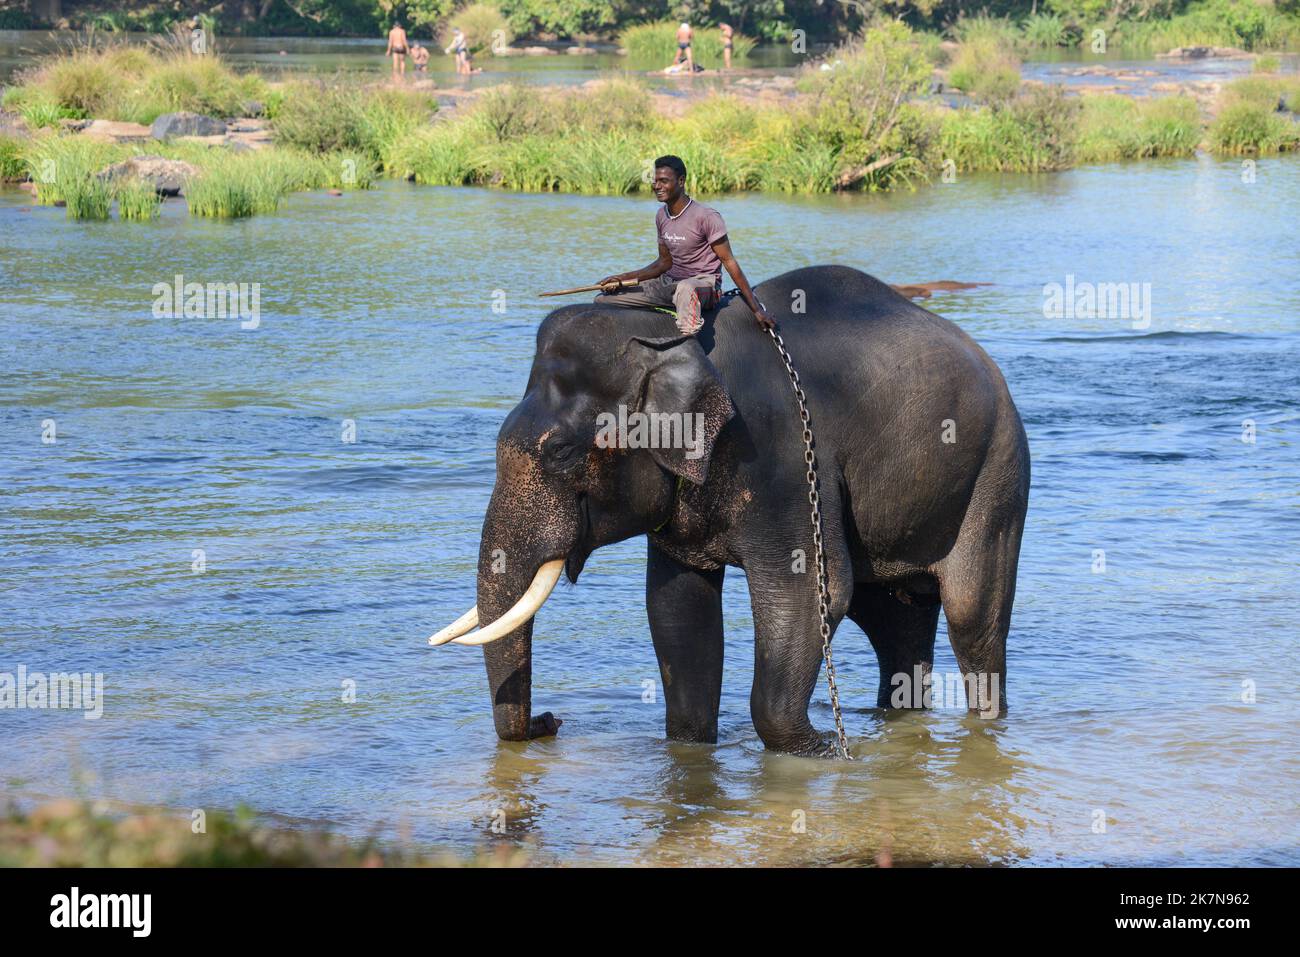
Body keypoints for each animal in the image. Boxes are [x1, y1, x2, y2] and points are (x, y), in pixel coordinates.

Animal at [429, 265, 1030, 755]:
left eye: (560, 452)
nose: (551, 721)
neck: (667, 340)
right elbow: (676, 607)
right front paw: (695, 746)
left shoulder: (784, 458)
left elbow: (810, 593)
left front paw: (820, 752)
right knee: (894, 624)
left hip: (997, 475)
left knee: (972, 618)